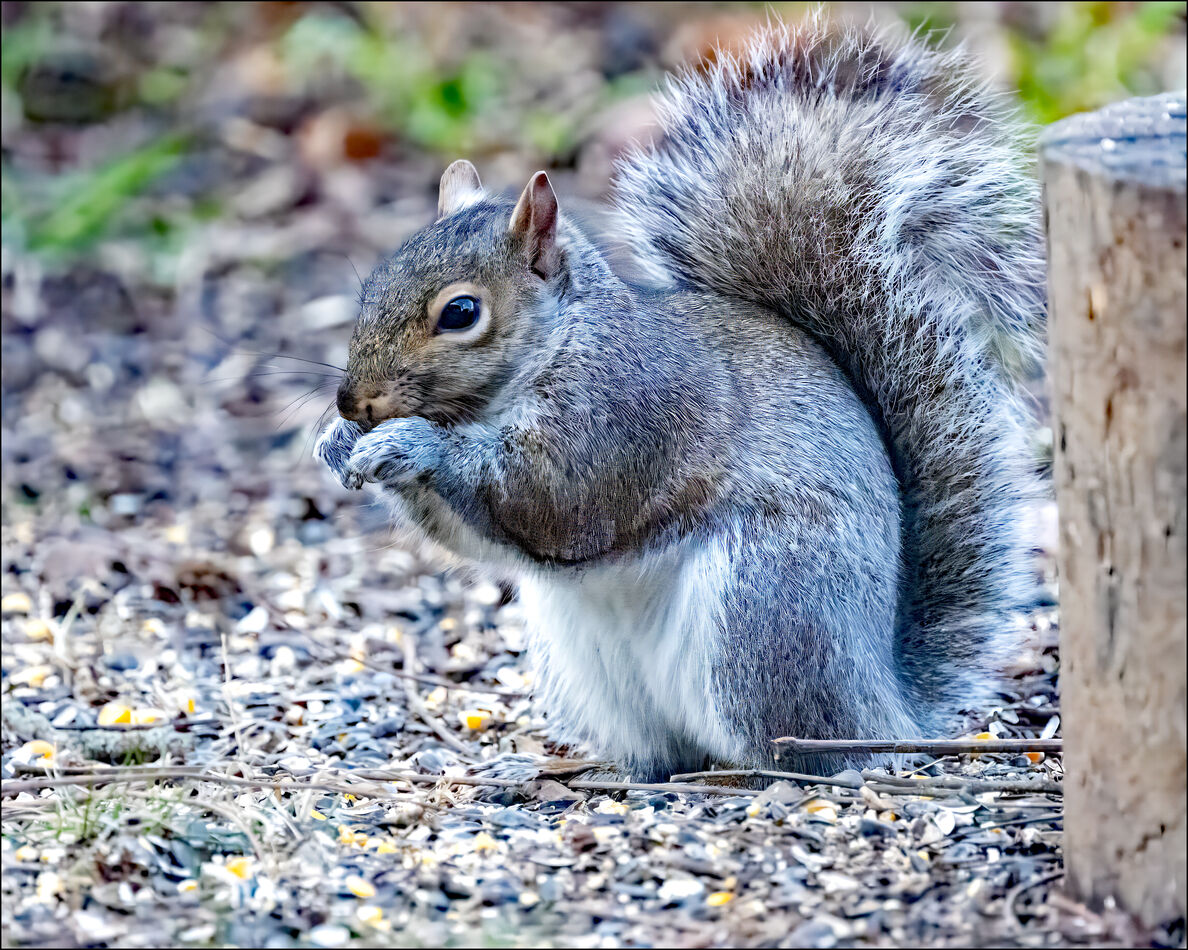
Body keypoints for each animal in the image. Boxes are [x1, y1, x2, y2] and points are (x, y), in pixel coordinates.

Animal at [316, 17, 1046, 781]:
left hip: (766, 603)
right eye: (373, 285)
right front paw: (338, 443)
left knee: (791, 739)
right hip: (589, 662)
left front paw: (413, 443)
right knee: (665, 747)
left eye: (460, 313)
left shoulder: (627, 413)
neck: (557, 347)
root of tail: (886, 705)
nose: (353, 404)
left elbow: (551, 501)